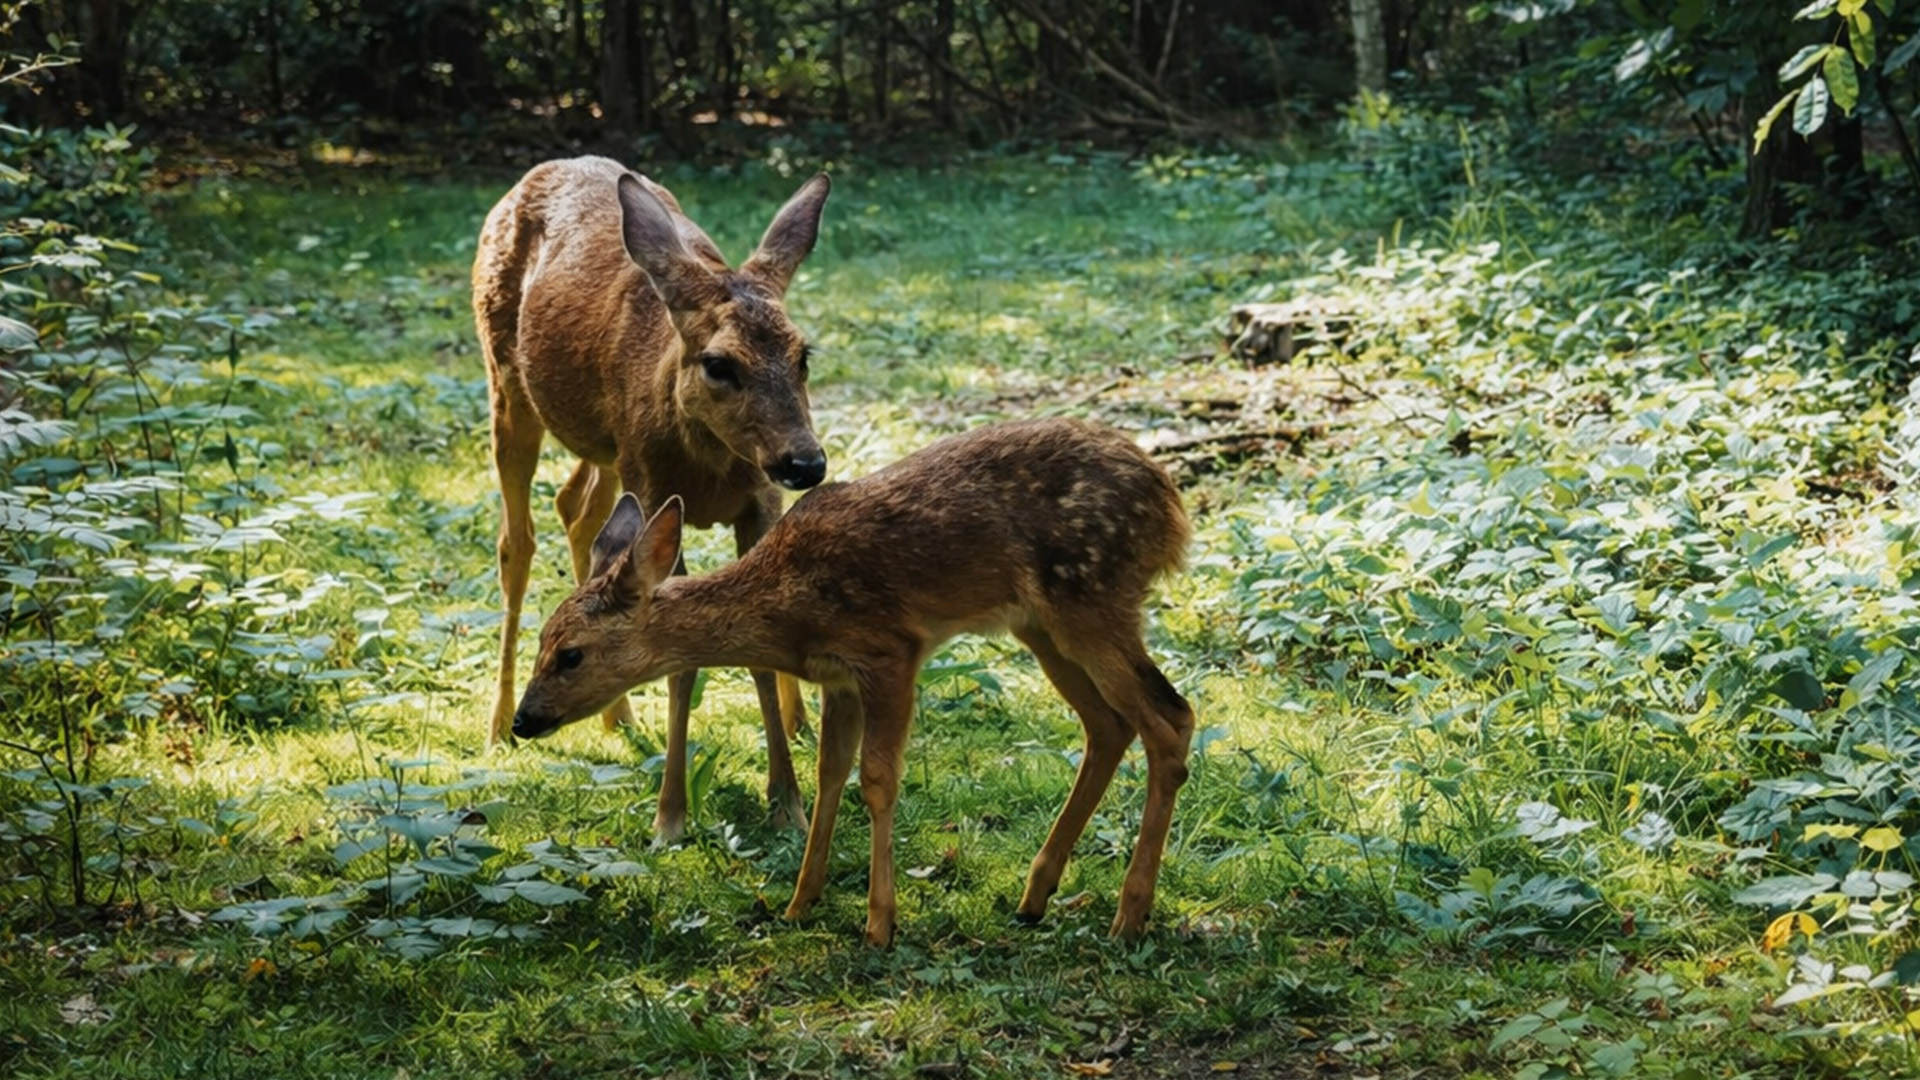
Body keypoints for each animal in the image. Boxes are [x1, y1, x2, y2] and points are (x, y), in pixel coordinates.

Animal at [472, 156, 831, 843]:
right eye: (719, 364)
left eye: (804, 355)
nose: (806, 461)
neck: (711, 466)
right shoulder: (658, 484)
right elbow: (682, 663)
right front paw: (671, 816)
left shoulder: (759, 499)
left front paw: (788, 801)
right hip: (508, 383)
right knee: (515, 542)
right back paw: (500, 723)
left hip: (608, 449)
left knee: (577, 509)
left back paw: (620, 717)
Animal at [509, 417, 1197, 946]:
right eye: (541, 644)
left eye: (570, 654)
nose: (522, 720)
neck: (786, 607)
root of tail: (1170, 503)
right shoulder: (836, 678)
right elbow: (830, 773)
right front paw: (798, 904)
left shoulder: (890, 650)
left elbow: (878, 780)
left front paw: (879, 925)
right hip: (1042, 624)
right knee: (1109, 724)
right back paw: (1035, 896)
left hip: (1092, 596)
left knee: (1170, 717)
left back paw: (1128, 917)